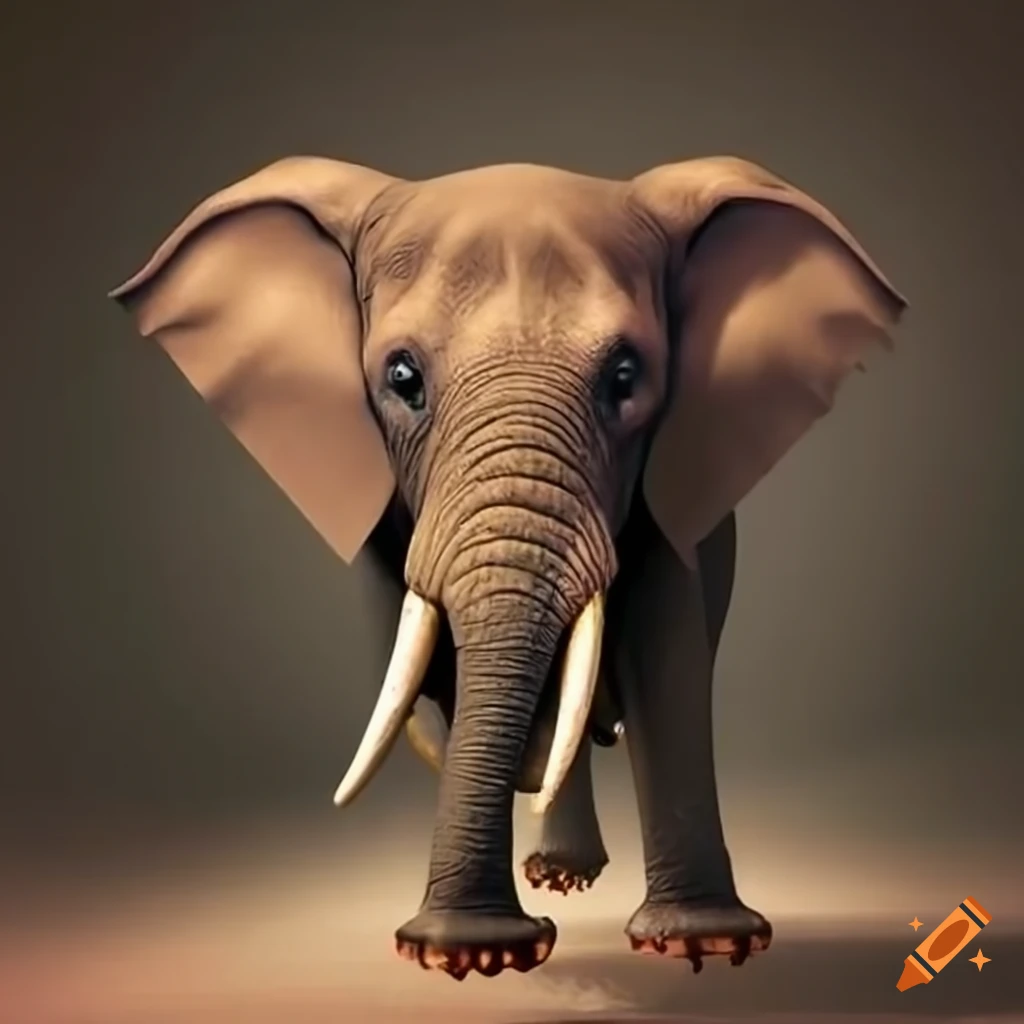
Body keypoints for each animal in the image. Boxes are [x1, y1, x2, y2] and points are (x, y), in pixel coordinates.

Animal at [109, 154, 905, 981]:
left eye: (627, 379)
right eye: (401, 379)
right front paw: (470, 954)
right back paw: (558, 873)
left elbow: (664, 654)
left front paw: (706, 942)